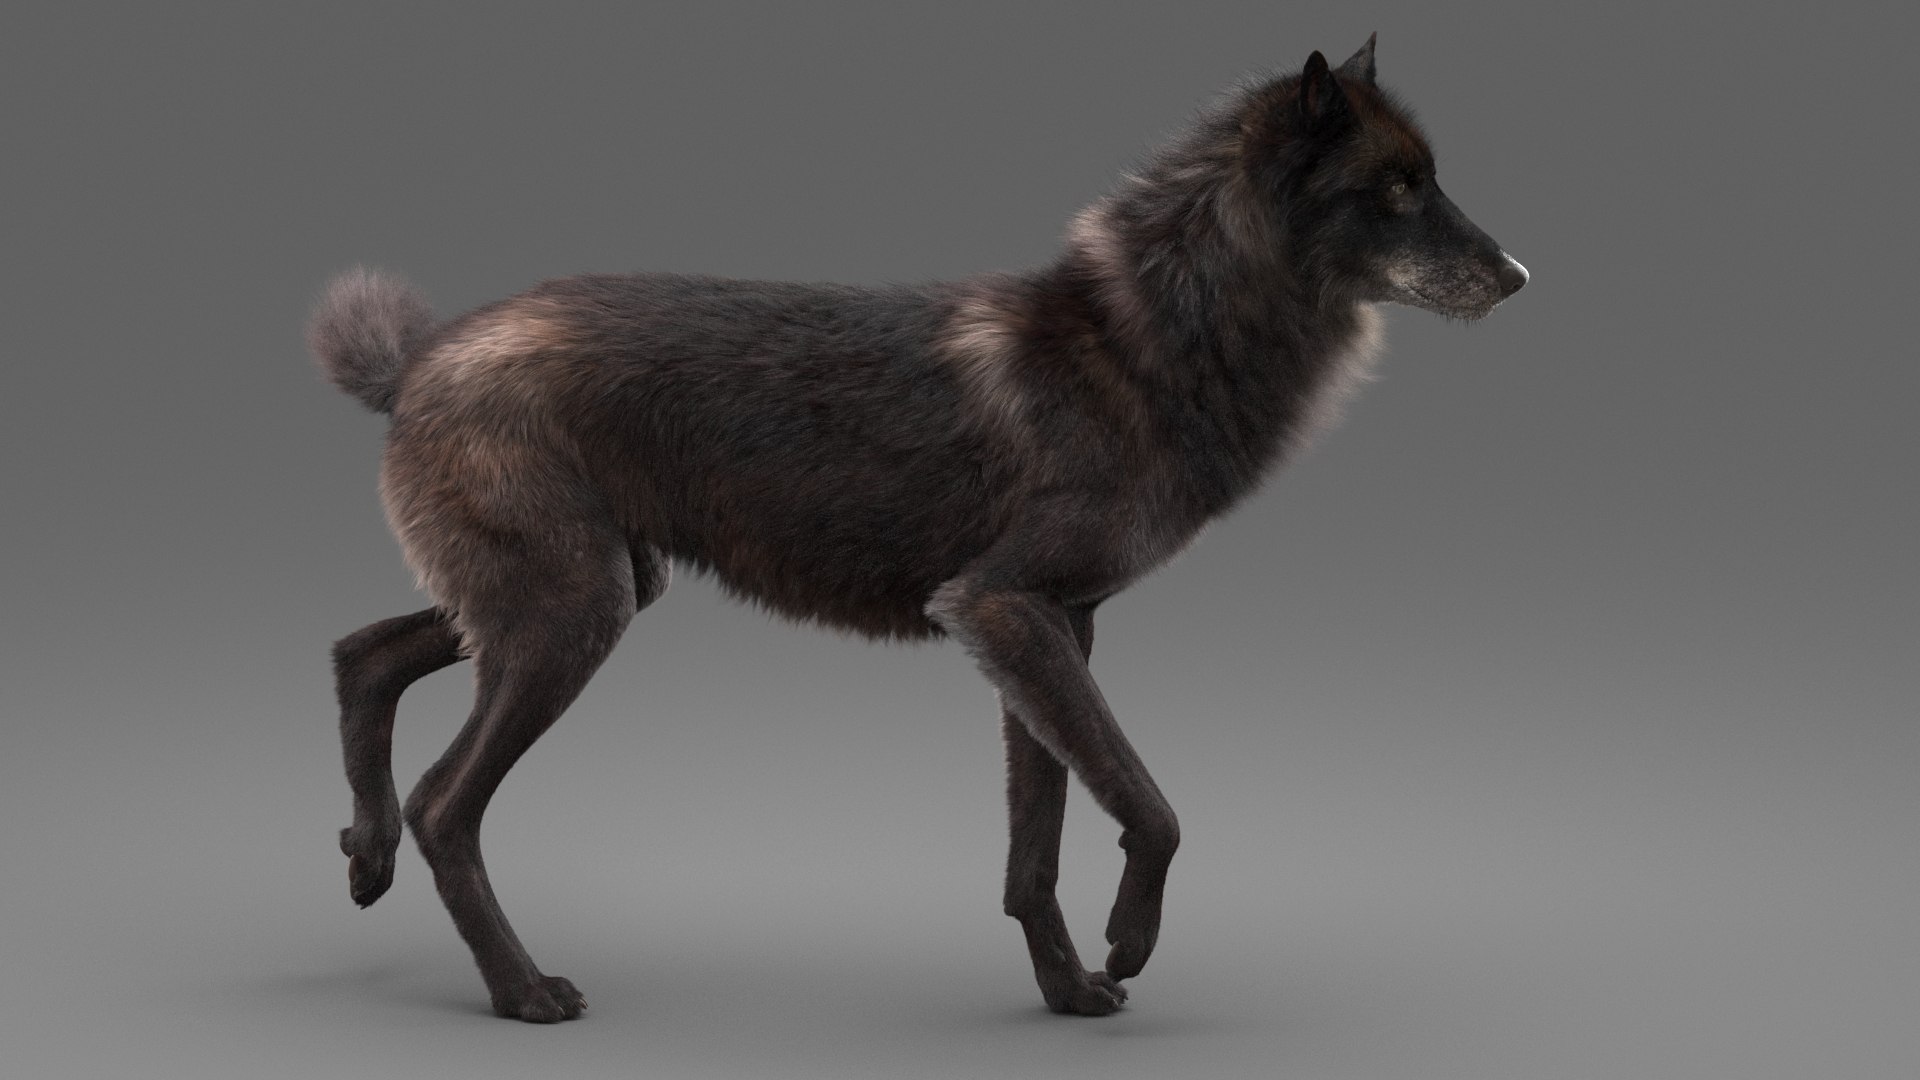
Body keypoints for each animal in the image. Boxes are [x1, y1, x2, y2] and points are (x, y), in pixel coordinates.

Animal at [312, 35, 1526, 1022]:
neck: (1150, 344)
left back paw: (367, 856)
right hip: (575, 613)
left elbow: (1037, 849)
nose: (1519, 276)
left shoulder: (1049, 627)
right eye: (1399, 187)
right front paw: (1130, 943)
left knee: (361, 652)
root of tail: (417, 361)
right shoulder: (1004, 609)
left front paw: (1069, 992)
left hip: (583, 594)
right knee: (445, 803)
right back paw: (520, 992)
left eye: (1430, 179)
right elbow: (1151, 804)